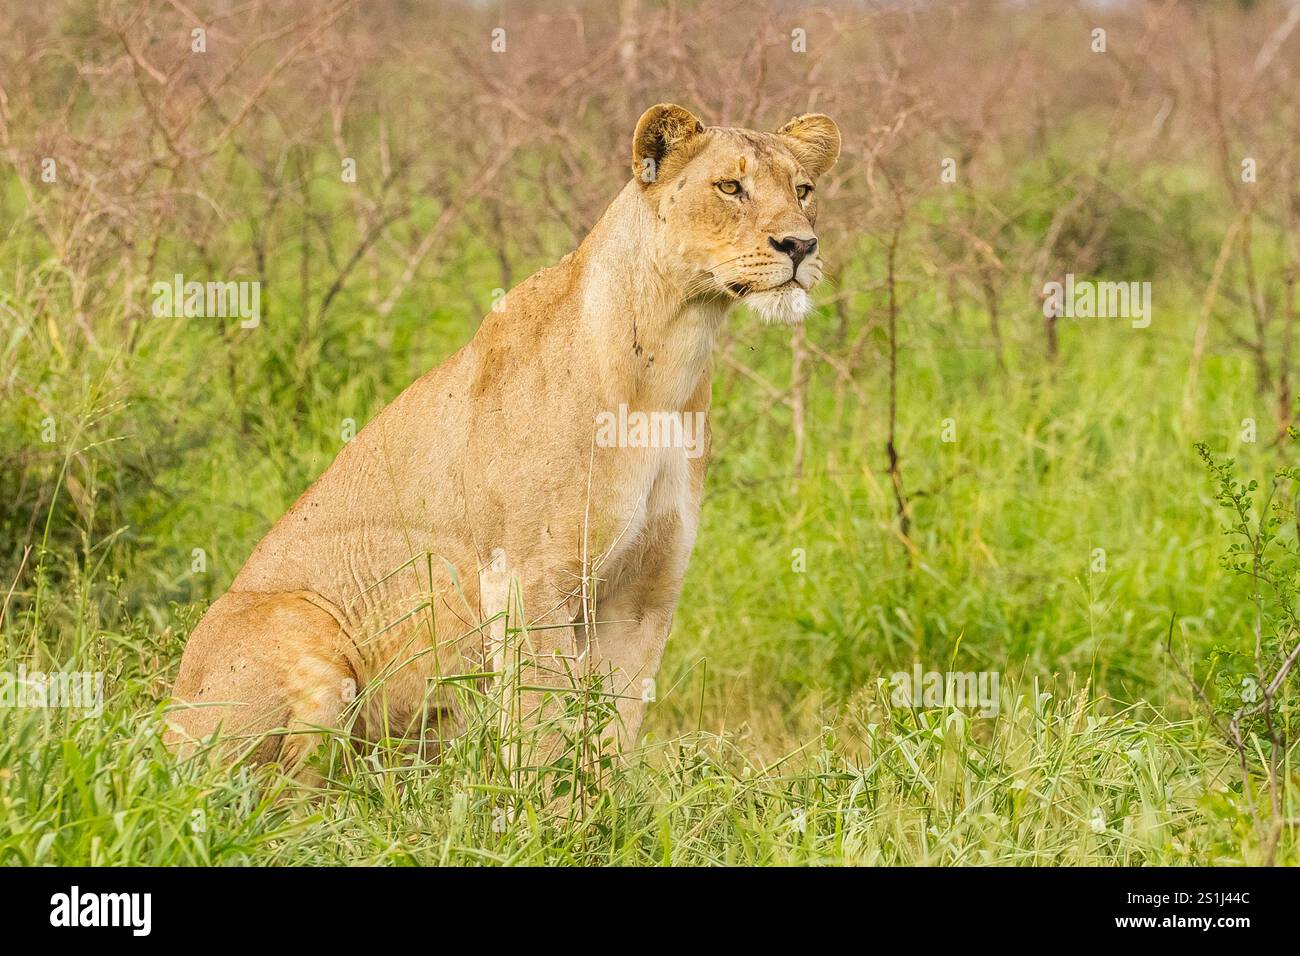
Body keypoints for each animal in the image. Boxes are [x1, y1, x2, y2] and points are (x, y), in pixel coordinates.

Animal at [165, 103, 840, 780]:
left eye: (803, 191)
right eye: (730, 187)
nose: (801, 245)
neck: (669, 364)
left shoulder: (645, 589)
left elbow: (614, 732)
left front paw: (604, 803)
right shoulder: (528, 576)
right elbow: (542, 722)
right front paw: (544, 806)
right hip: (303, 634)